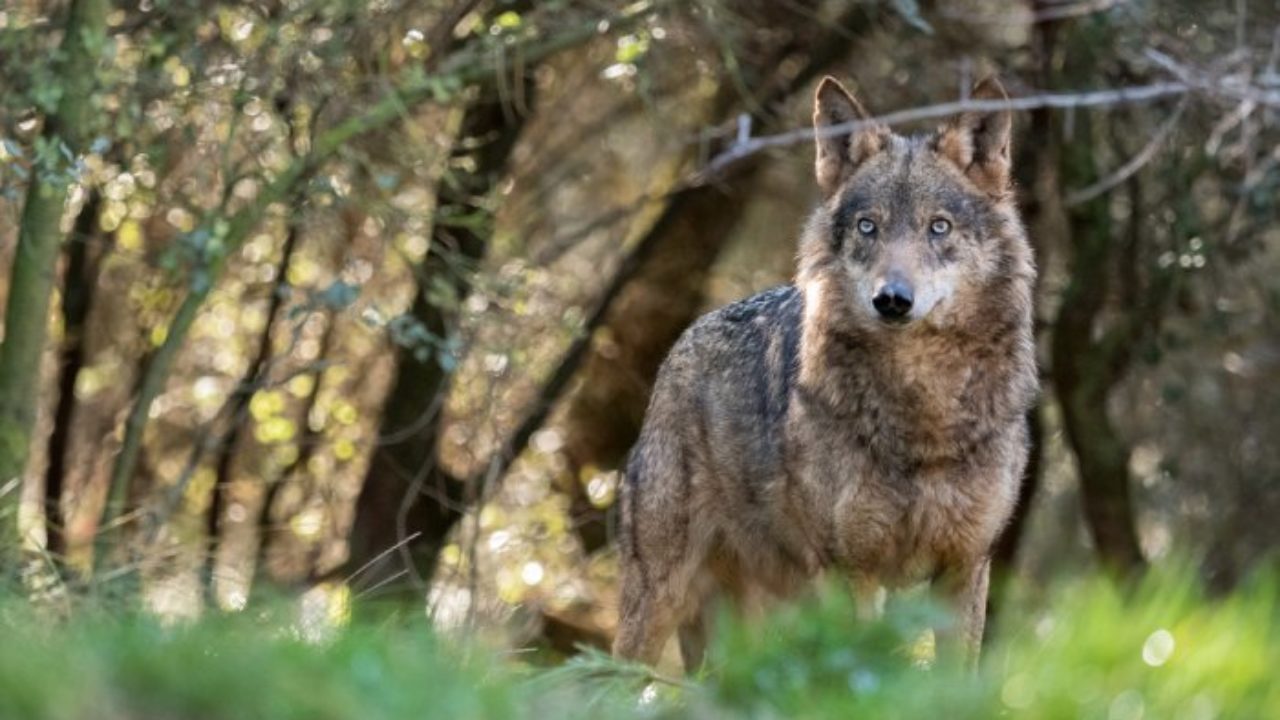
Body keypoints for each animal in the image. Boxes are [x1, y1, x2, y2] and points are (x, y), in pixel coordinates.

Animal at [612, 76, 1038, 670]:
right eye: (868, 227)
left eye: (939, 227)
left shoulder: (965, 567)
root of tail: (684, 340)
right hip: (660, 598)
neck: (922, 417)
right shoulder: (850, 570)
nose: (892, 300)